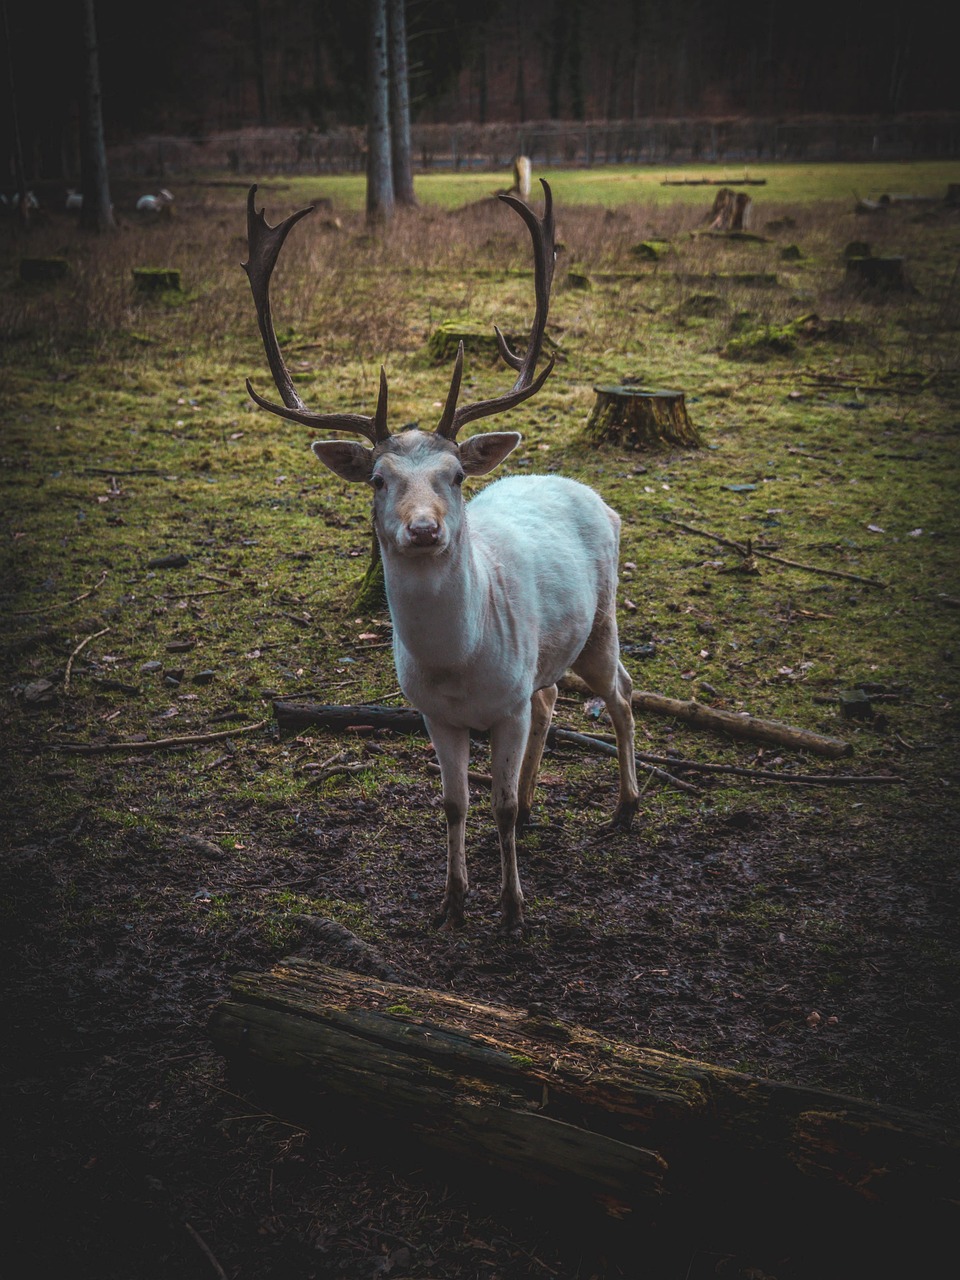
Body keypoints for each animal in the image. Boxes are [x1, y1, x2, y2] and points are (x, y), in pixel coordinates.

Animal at [242, 179, 639, 934]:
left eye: (455, 474)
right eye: (377, 479)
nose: (423, 530)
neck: (459, 664)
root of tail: (593, 494)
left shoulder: (504, 707)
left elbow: (498, 806)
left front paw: (513, 912)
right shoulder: (432, 713)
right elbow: (455, 804)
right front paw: (452, 904)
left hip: (602, 623)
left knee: (623, 696)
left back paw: (627, 809)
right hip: (548, 654)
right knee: (551, 702)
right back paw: (541, 803)